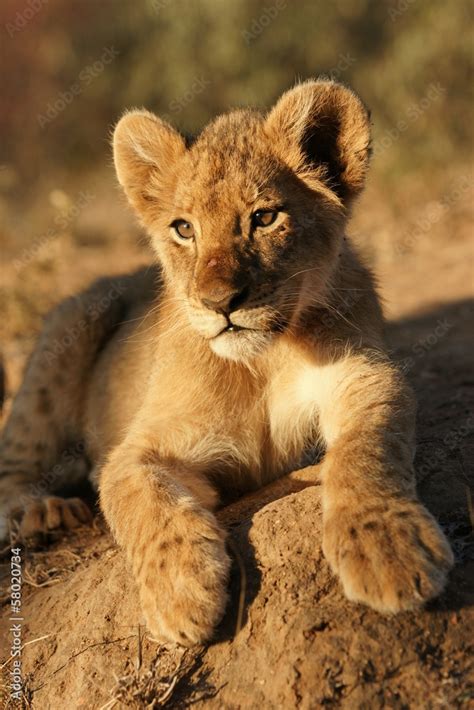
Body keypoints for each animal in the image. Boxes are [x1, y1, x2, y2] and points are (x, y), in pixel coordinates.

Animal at [0, 79, 453, 645]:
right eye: (183, 228)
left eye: (264, 217)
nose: (221, 303)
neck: (264, 361)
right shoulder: (138, 448)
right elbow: (143, 499)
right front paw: (180, 591)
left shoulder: (366, 378)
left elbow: (367, 451)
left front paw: (386, 547)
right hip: (73, 323)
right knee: (16, 463)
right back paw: (43, 511)